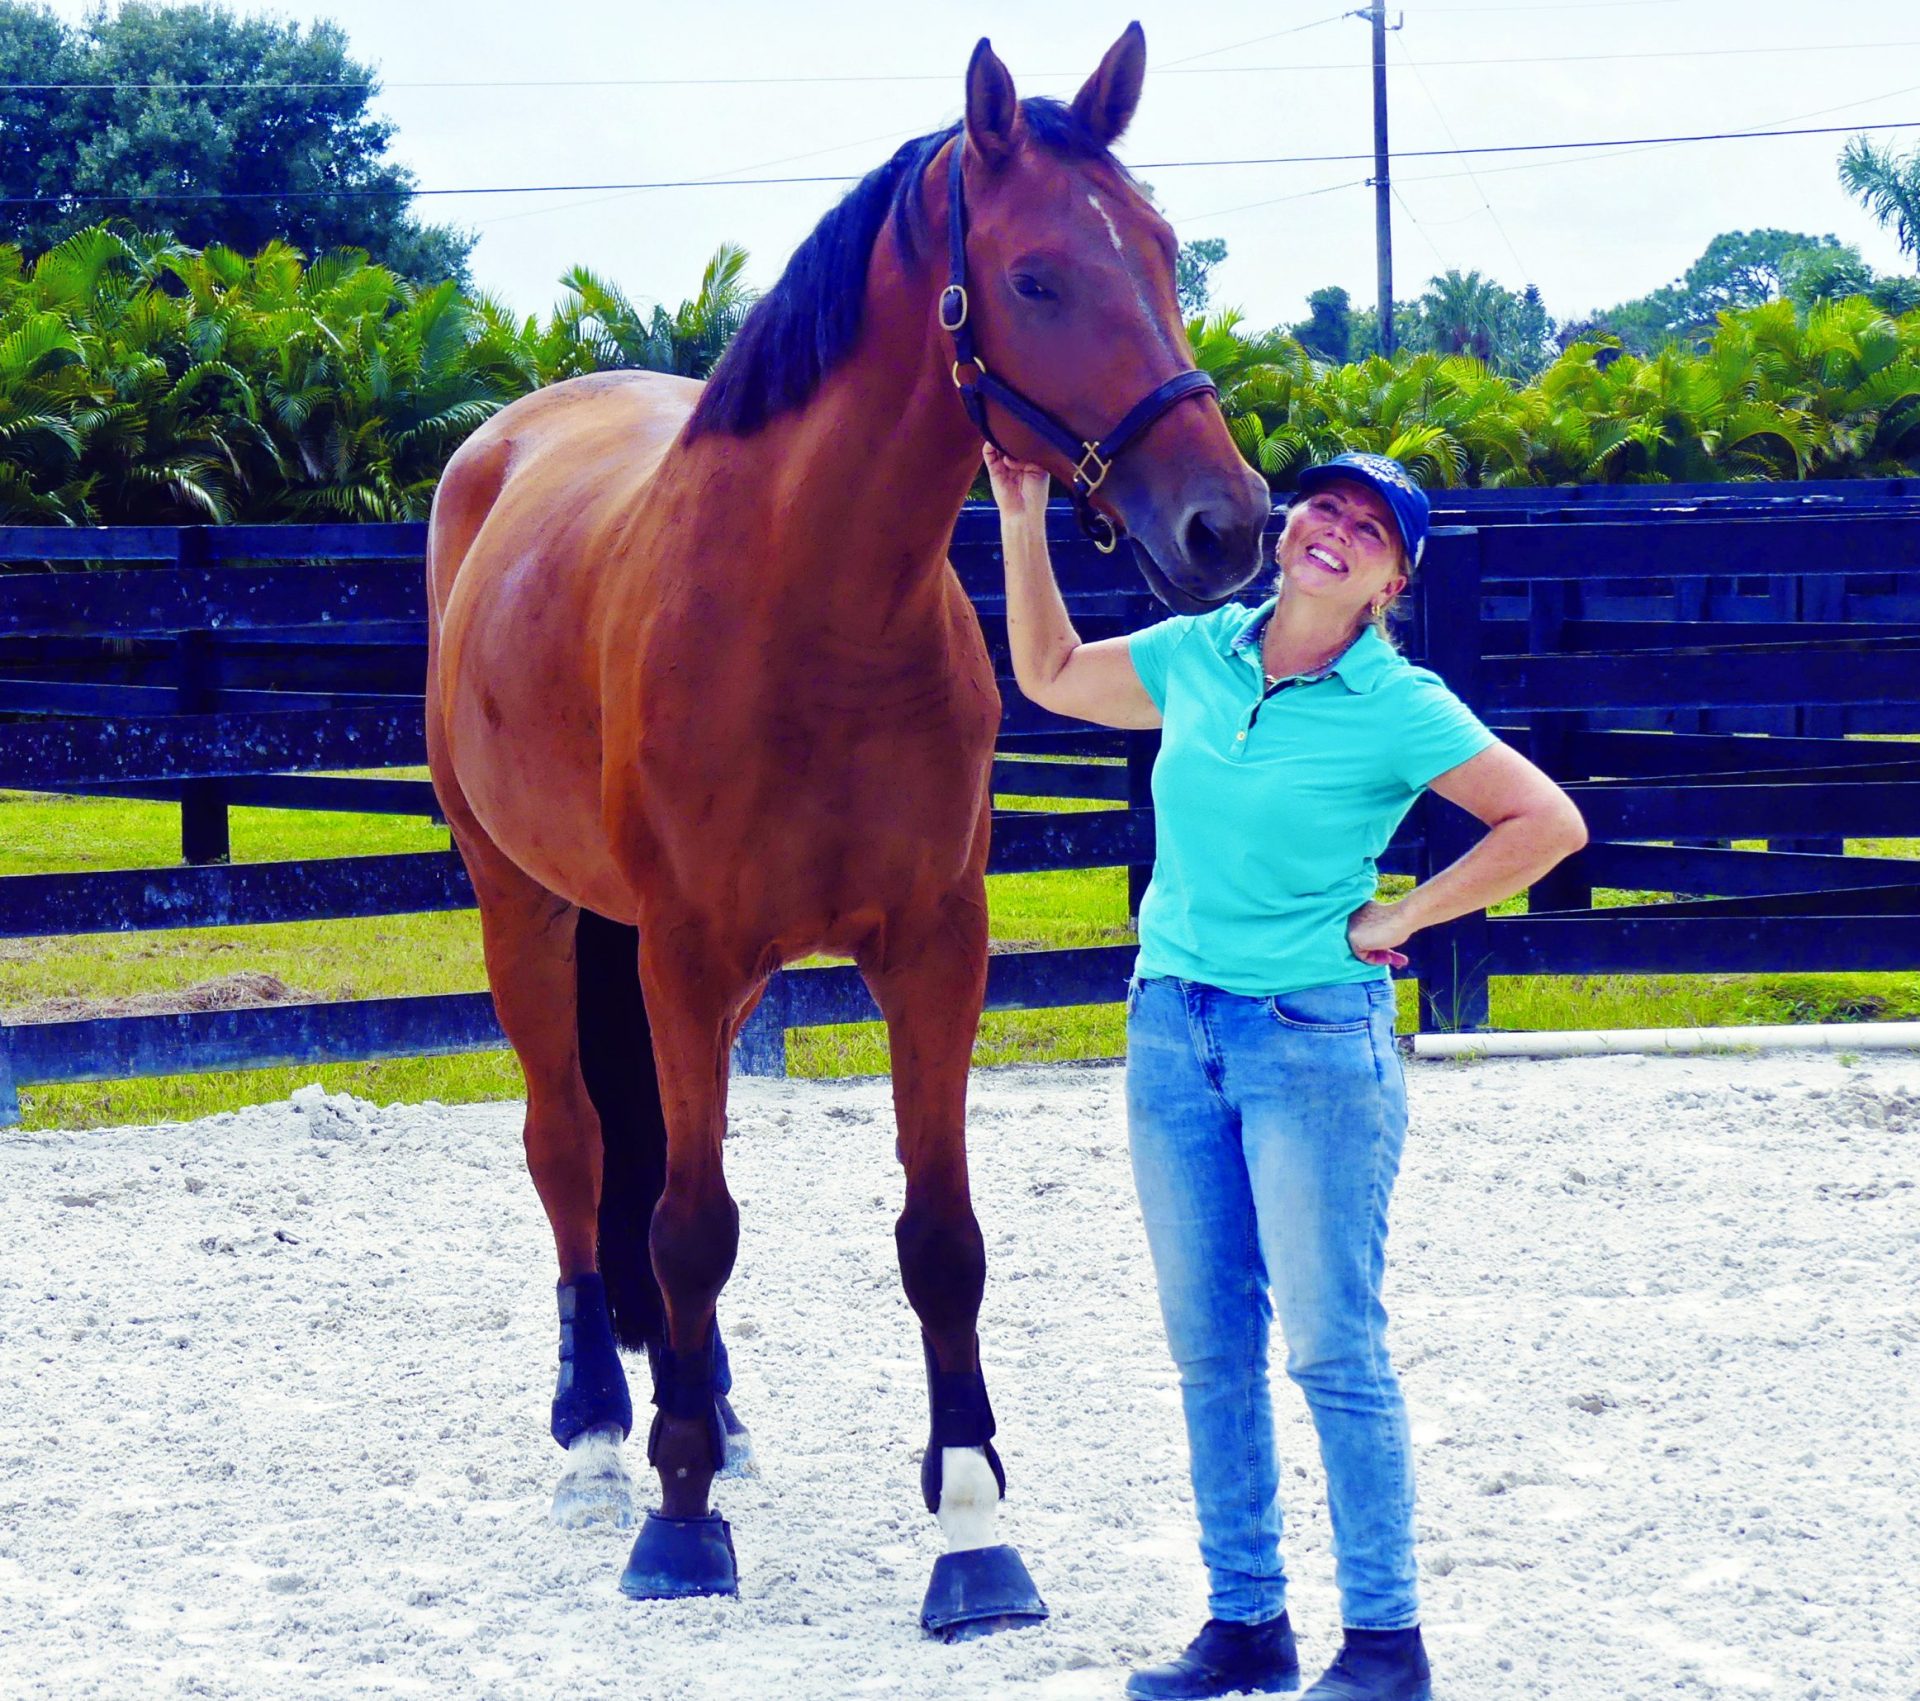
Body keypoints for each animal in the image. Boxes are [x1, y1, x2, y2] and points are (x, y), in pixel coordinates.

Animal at [424, 24, 1269, 1635]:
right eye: (1037, 278)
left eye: (1160, 252)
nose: (1229, 525)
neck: (806, 608)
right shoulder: (686, 961)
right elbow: (689, 1224)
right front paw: (678, 1522)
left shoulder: (935, 951)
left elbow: (937, 1240)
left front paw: (973, 1523)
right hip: (528, 913)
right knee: (574, 1155)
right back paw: (597, 1438)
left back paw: (712, 1408)